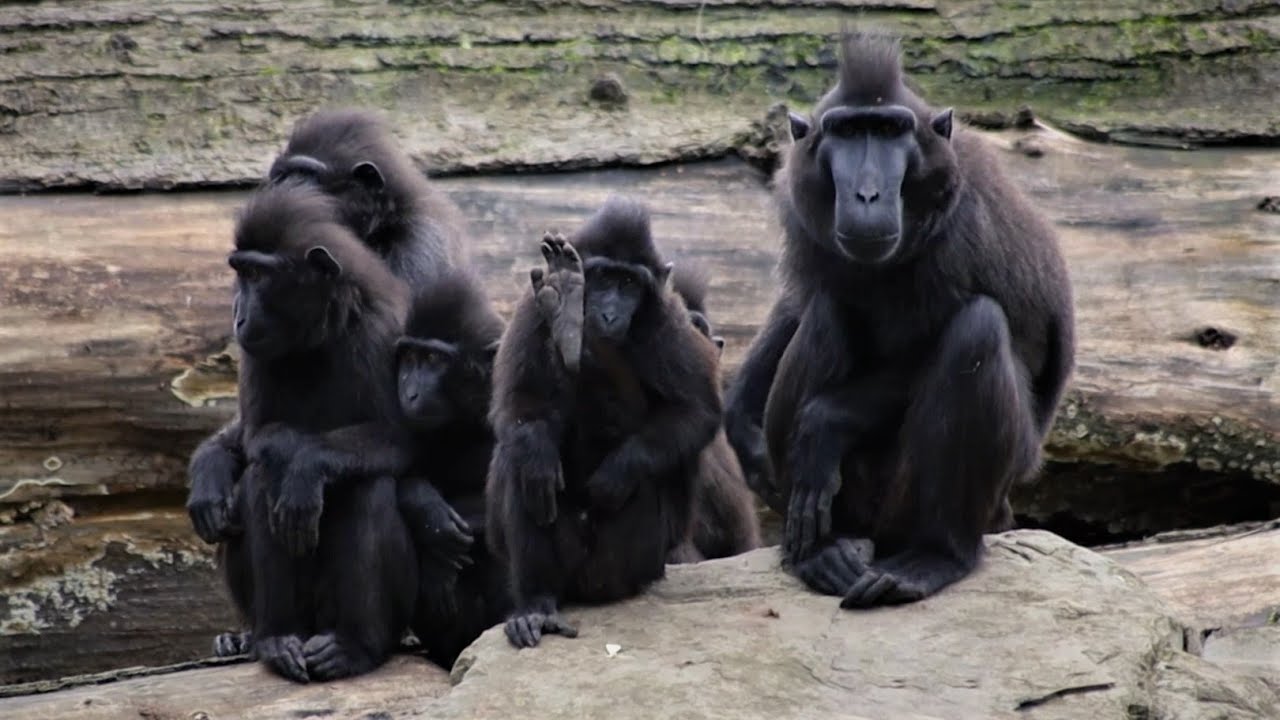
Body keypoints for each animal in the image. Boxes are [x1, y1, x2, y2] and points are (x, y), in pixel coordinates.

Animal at [216, 180, 420, 682]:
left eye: (258, 275)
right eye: (240, 273)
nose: (237, 314)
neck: (319, 337)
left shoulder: (384, 334)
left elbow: (403, 441)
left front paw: (308, 467)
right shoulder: (254, 352)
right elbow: (258, 438)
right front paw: (293, 463)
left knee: (368, 486)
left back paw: (355, 647)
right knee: (261, 480)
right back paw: (276, 638)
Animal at [485, 198, 722, 648]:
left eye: (629, 284)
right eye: (603, 278)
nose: (610, 314)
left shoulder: (668, 319)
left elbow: (696, 409)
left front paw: (617, 473)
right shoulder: (528, 307)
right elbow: (522, 403)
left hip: (635, 564)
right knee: (520, 463)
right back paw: (537, 604)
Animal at [722, 31, 1075, 608]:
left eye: (889, 131)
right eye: (848, 132)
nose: (866, 194)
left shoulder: (966, 229)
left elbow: (1018, 341)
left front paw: (825, 420)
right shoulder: (801, 205)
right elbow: (799, 303)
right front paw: (742, 417)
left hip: (927, 501)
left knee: (978, 330)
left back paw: (936, 555)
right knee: (828, 310)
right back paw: (825, 552)